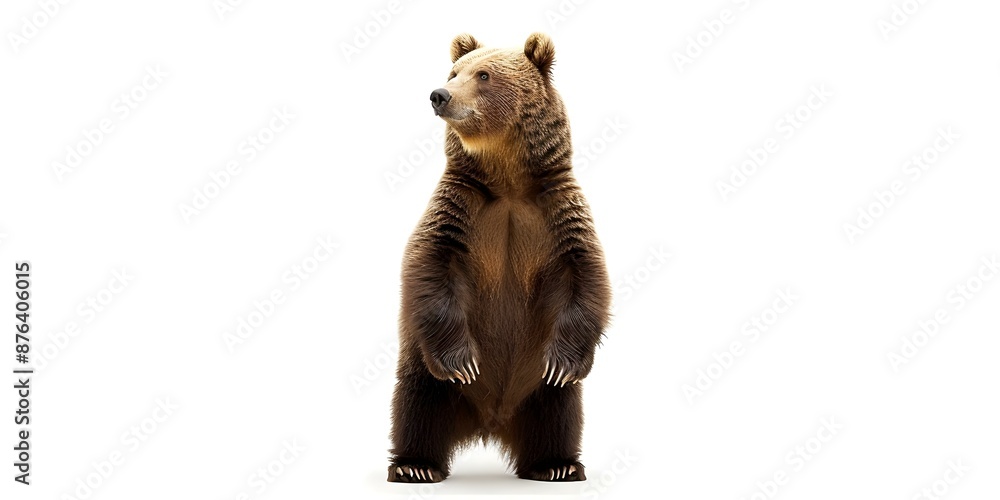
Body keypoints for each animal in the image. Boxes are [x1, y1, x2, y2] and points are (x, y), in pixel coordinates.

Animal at [387, 33, 611, 483]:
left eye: (484, 74)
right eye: (453, 72)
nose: (439, 95)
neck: (508, 180)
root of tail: (490, 423)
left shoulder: (555, 211)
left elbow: (586, 275)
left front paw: (563, 362)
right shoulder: (461, 207)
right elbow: (428, 266)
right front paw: (464, 361)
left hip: (538, 392)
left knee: (560, 411)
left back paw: (557, 464)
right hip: (423, 366)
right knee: (416, 404)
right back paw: (414, 465)